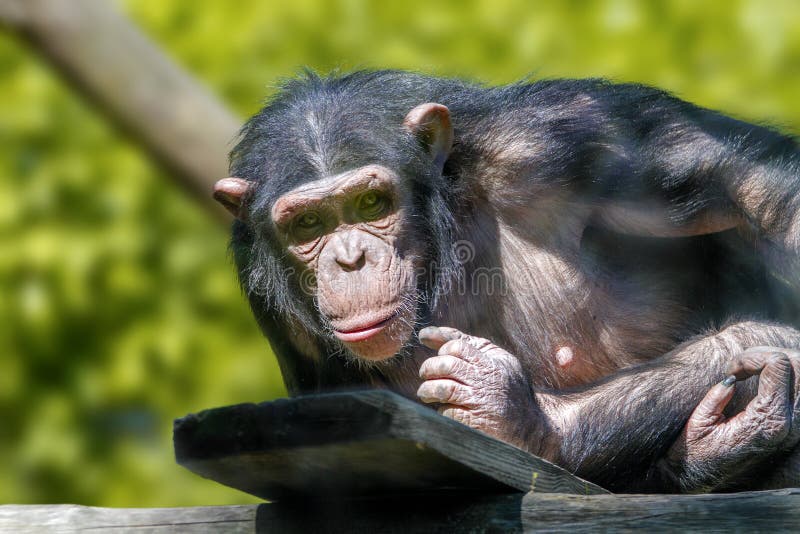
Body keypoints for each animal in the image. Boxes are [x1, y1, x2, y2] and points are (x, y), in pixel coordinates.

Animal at [213, 70, 800, 493]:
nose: (351, 259)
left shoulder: (571, 136)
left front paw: (515, 413)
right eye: (308, 224)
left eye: (372, 203)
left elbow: (760, 192)